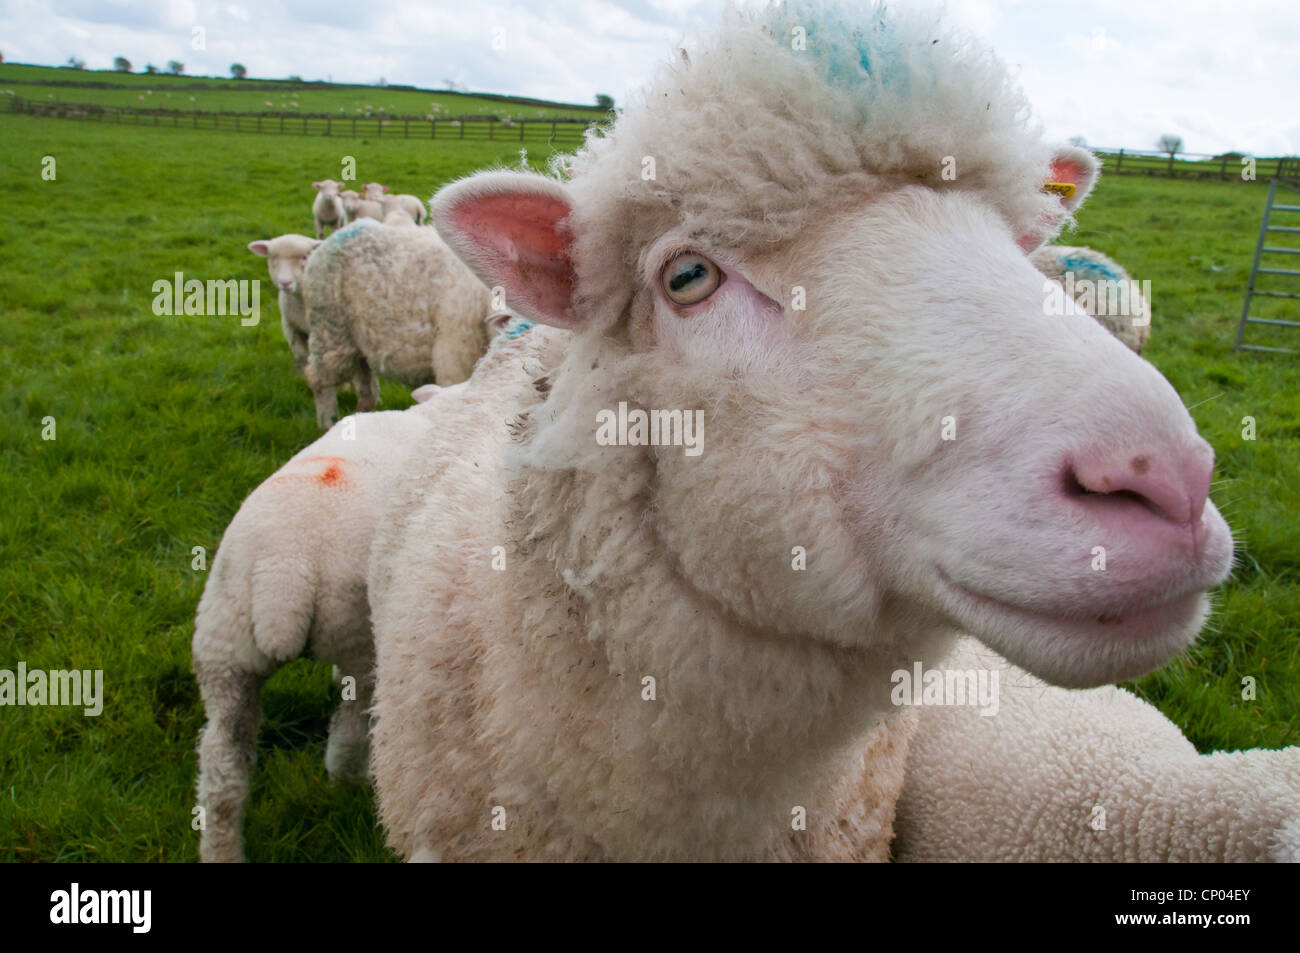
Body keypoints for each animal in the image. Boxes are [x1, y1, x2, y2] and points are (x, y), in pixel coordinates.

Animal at [299, 219, 493, 428]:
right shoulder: (454, 365)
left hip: (355, 340)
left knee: (365, 384)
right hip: (329, 328)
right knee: (320, 380)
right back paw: (328, 422)